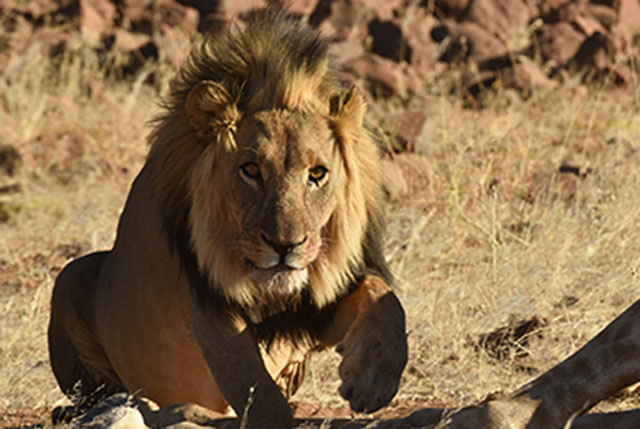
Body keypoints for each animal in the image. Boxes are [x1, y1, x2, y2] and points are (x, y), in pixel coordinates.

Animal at [48, 7, 407, 428]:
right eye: (250, 170)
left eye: (317, 174)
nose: (285, 246)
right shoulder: (209, 308)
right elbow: (259, 392)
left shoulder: (310, 308)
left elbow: (382, 295)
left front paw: (372, 379)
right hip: (70, 276)